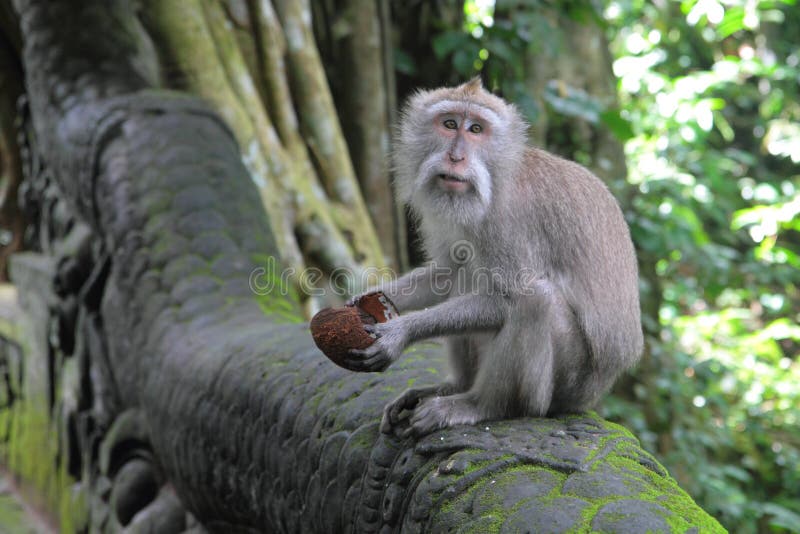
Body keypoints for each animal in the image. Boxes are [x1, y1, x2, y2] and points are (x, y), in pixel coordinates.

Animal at [344, 78, 643, 438]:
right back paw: (453, 387)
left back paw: (482, 405)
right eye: (449, 124)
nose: (455, 157)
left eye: (476, 129)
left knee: (536, 300)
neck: (494, 180)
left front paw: (399, 332)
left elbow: (511, 295)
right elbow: (446, 273)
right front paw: (365, 301)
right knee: (466, 274)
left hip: (569, 385)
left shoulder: (509, 221)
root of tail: (595, 393)